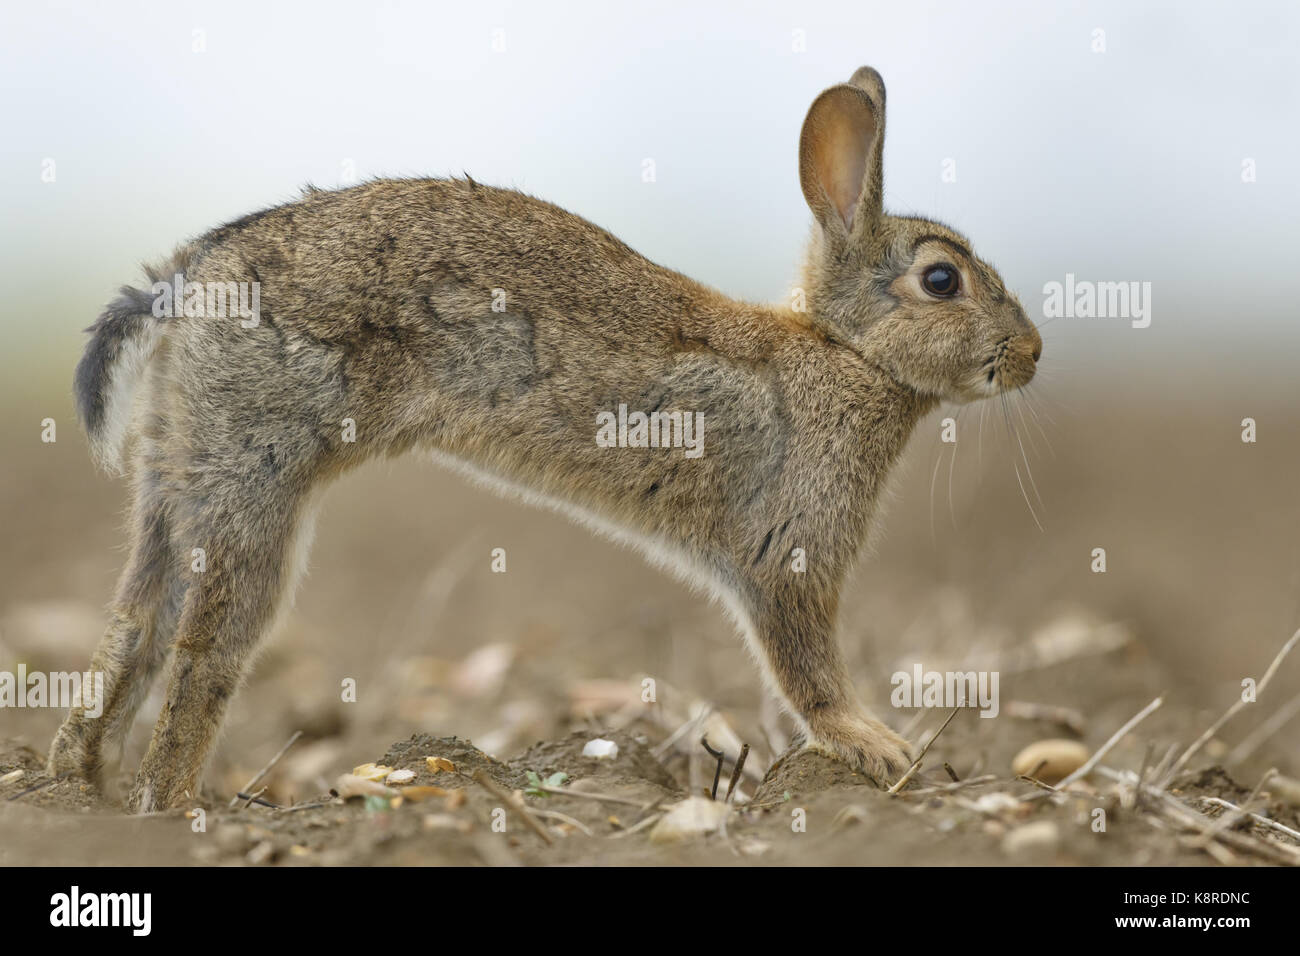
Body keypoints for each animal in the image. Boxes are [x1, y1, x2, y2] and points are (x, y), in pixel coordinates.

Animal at [49, 66, 1042, 812]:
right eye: (942, 280)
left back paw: (79, 789)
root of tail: (189, 278)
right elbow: (807, 672)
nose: (1031, 356)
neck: (846, 354)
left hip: (179, 465)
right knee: (205, 648)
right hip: (253, 475)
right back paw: (174, 805)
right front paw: (877, 750)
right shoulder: (788, 558)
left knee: (137, 617)